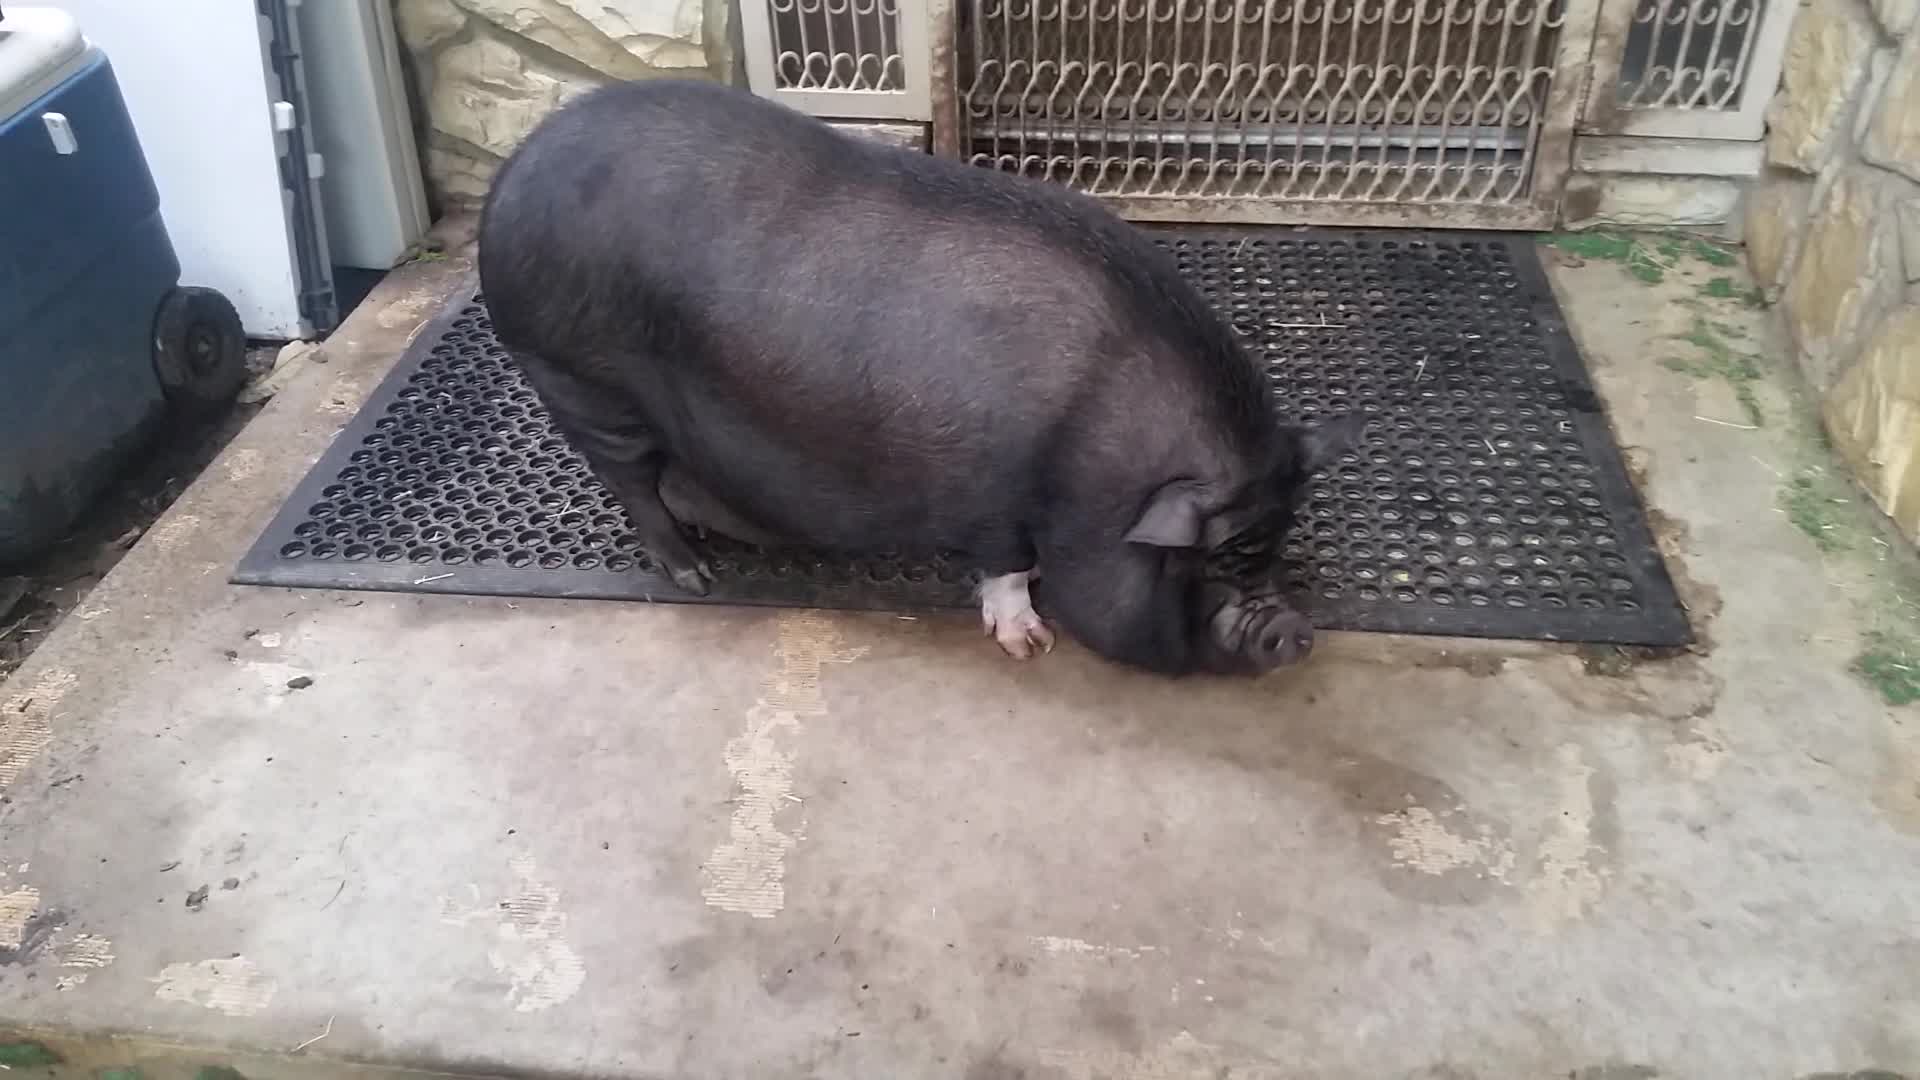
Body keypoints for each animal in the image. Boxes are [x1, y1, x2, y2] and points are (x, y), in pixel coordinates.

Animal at [477, 78, 1361, 676]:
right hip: (579, 381)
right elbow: (1006, 568)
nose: (1296, 631)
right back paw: (694, 576)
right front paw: (1030, 643)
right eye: (1211, 564)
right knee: (631, 482)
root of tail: (510, 177)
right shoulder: (991, 498)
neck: (1098, 460)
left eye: (1273, 548)